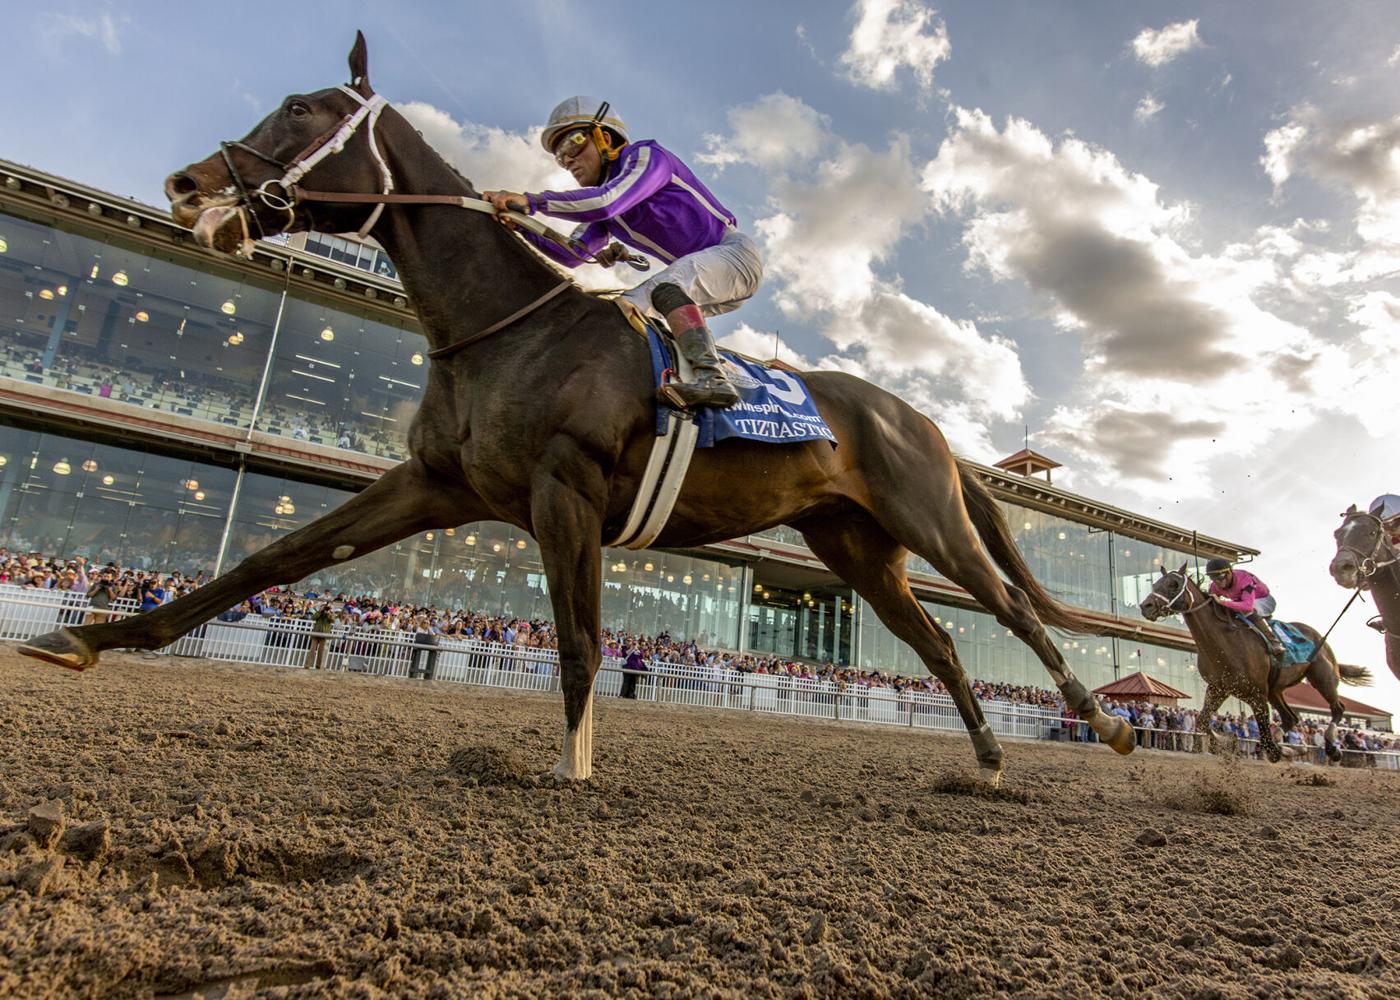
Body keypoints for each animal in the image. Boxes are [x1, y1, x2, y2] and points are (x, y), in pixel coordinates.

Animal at [17, 33, 1135, 784]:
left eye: (301, 108)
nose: (186, 184)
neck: (504, 326)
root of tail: (923, 421)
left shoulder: (569, 491)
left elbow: (581, 637)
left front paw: (572, 767)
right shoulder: (437, 484)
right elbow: (274, 558)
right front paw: (91, 638)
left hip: (926, 518)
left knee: (1008, 612)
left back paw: (1105, 720)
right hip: (855, 547)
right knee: (942, 642)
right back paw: (987, 759)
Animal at [1139, 565, 1371, 763]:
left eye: (1173, 584)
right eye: (1155, 584)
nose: (1145, 606)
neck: (1223, 642)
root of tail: (1317, 635)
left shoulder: (1256, 693)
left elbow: (1267, 739)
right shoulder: (1220, 687)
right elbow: (1203, 720)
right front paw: (1227, 740)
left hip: (1322, 678)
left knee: (1337, 709)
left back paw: (1331, 748)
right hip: (1275, 689)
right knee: (1291, 719)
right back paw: (1295, 748)